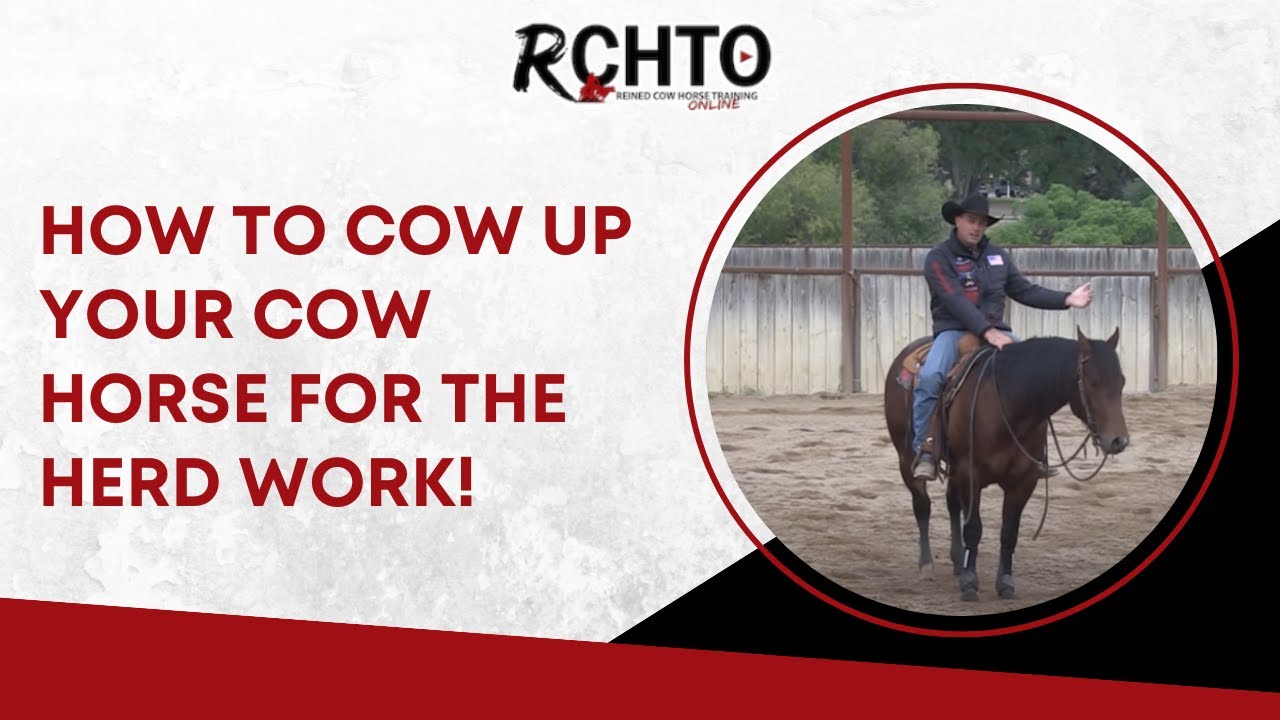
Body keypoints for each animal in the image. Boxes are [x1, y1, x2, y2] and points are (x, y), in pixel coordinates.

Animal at [883, 327, 1130, 601]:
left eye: (1121, 382)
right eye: (1092, 382)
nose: (1118, 440)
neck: (1010, 404)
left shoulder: (1023, 481)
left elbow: (1009, 533)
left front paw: (1004, 583)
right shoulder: (970, 475)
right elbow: (973, 528)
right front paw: (970, 583)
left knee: (952, 504)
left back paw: (958, 562)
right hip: (907, 459)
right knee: (922, 505)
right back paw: (927, 565)